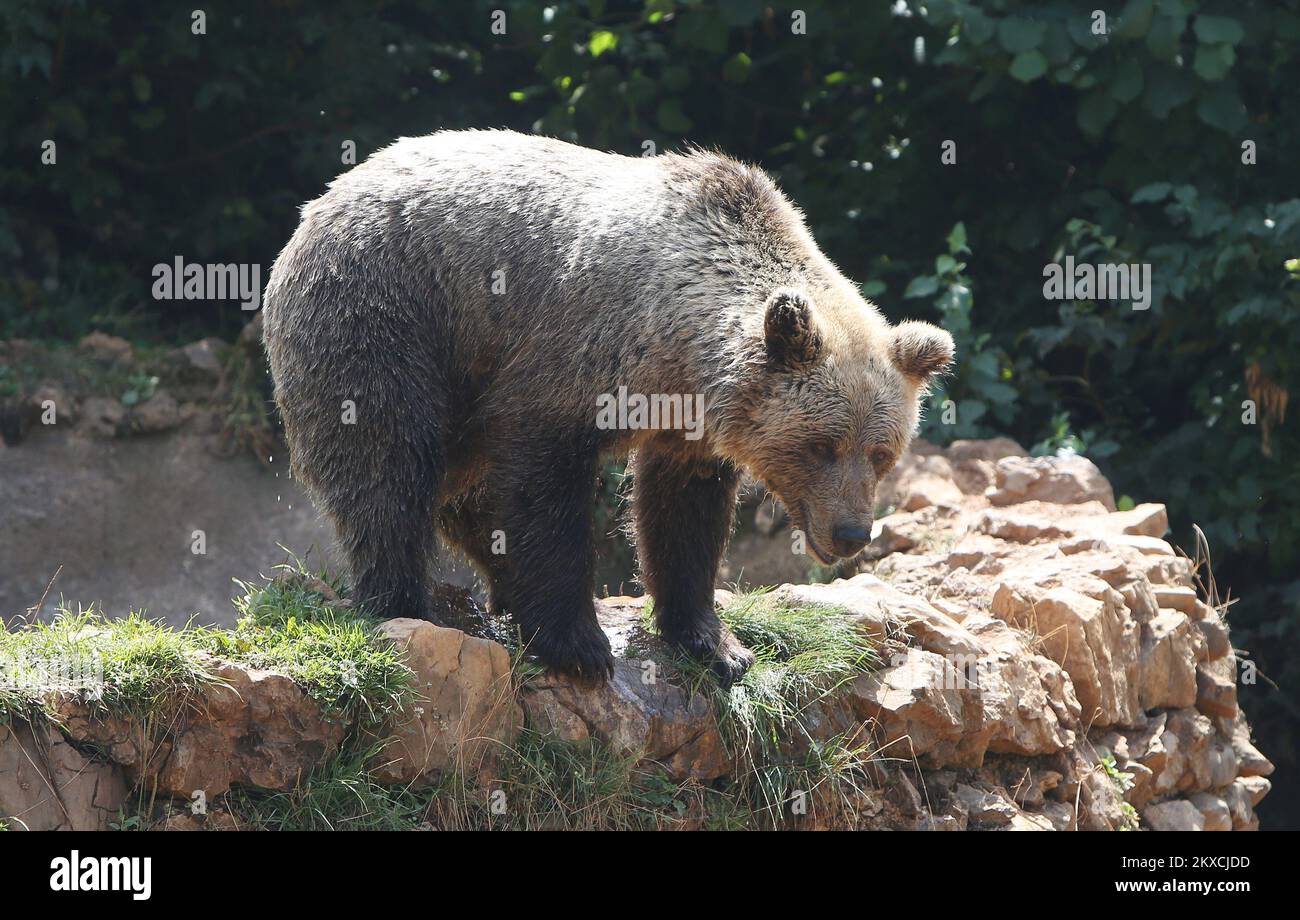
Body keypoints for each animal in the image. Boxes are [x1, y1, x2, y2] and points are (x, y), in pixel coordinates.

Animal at [262, 129, 953, 685]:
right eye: (822, 445)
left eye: (881, 453)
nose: (851, 532)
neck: (673, 340)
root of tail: (319, 203)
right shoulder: (567, 355)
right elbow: (544, 490)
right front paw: (579, 645)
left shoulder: (686, 420)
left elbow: (683, 512)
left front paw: (715, 642)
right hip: (387, 317)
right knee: (386, 462)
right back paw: (403, 602)